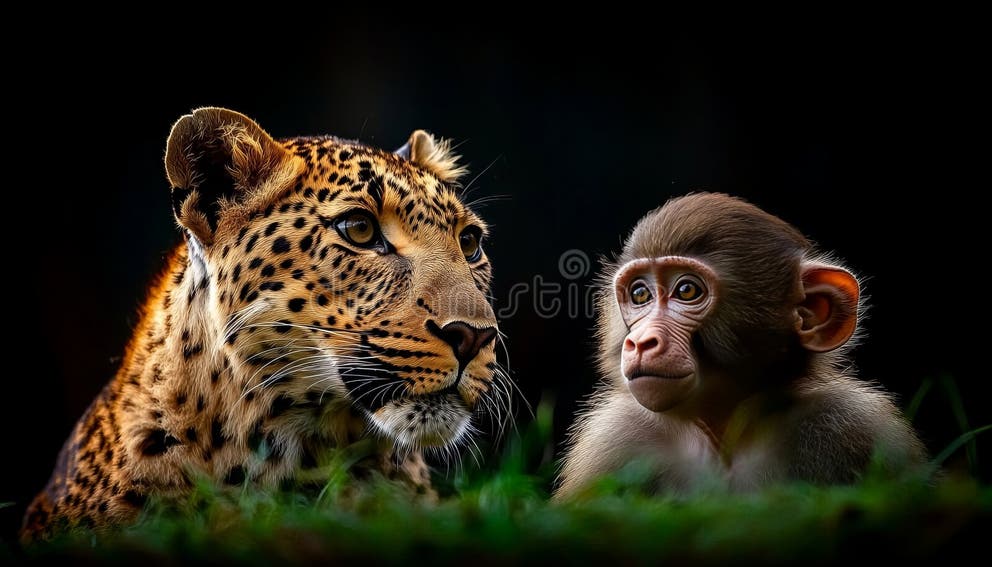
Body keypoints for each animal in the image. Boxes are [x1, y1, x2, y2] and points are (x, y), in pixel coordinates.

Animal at [555, 193, 926, 499]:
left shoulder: (856, 423)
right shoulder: (613, 439)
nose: (640, 341)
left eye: (687, 290)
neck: (725, 435)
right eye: (640, 294)